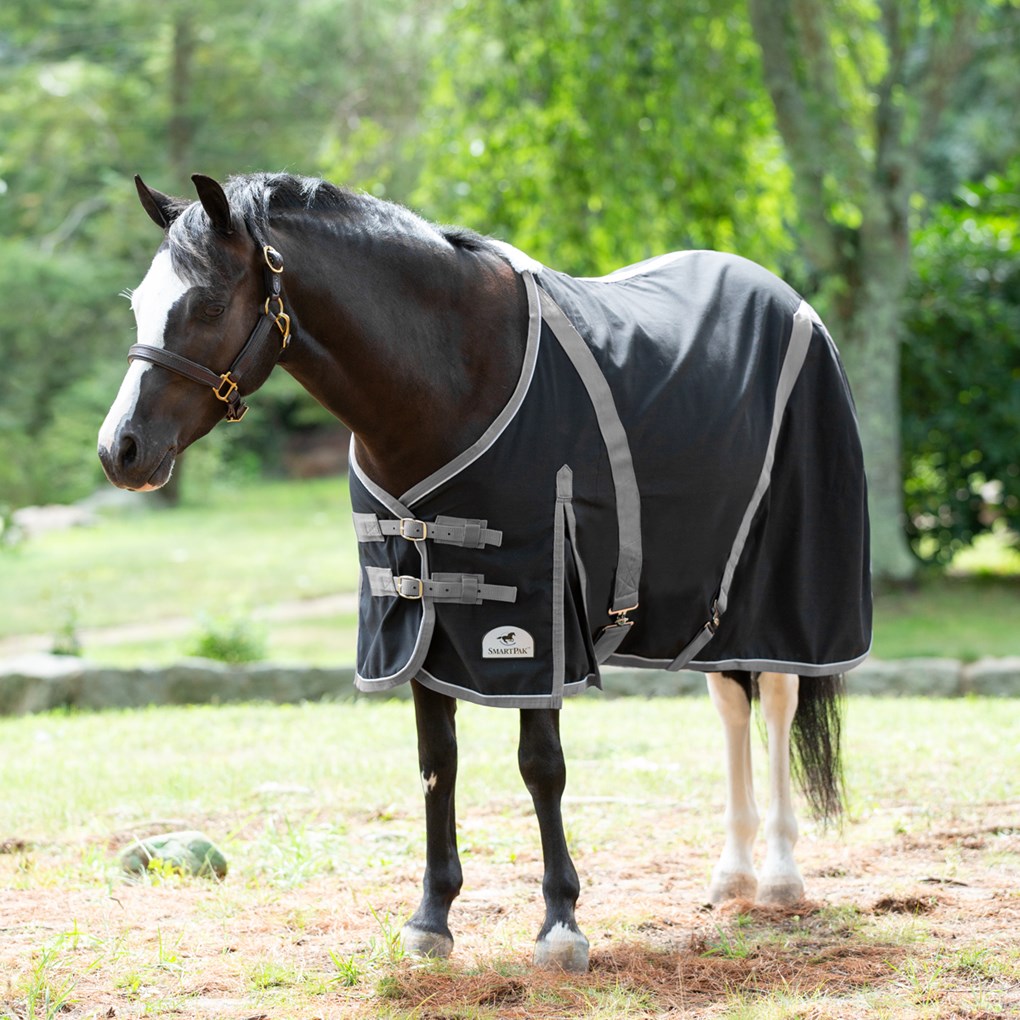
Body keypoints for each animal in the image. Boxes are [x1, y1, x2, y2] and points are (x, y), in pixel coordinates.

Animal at [98, 172, 871, 973]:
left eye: (209, 304)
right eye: (139, 303)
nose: (120, 450)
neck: (448, 379)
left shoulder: (537, 614)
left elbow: (541, 764)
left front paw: (560, 924)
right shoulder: (417, 616)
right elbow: (436, 761)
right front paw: (431, 918)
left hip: (777, 586)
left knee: (776, 696)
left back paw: (778, 876)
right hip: (710, 599)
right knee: (731, 703)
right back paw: (732, 874)